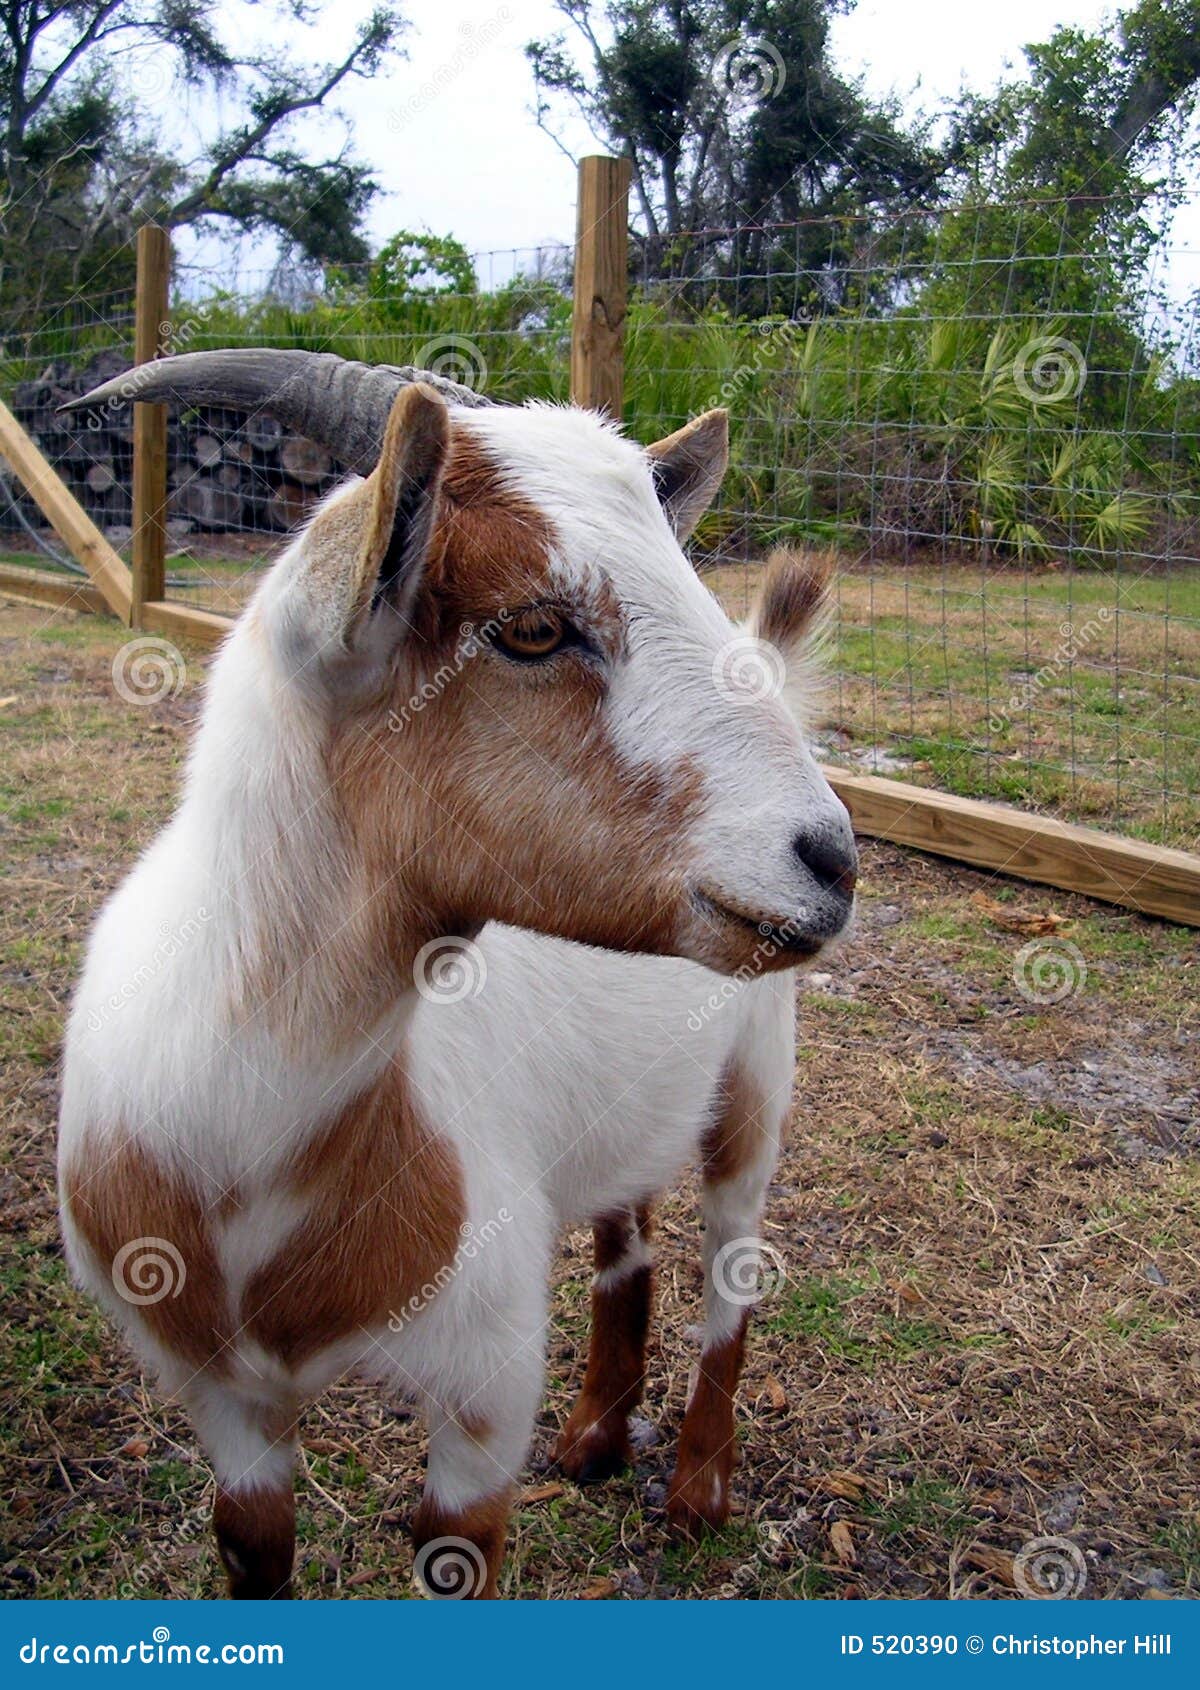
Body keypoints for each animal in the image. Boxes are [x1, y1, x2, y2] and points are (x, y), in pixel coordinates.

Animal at [57, 351, 857, 1599]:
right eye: (532, 627)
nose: (831, 858)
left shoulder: (484, 1388)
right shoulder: (218, 1402)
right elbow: (254, 1546)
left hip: (758, 1076)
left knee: (733, 1257)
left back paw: (696, 1490)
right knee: (627, 1226)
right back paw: (592, 1440)